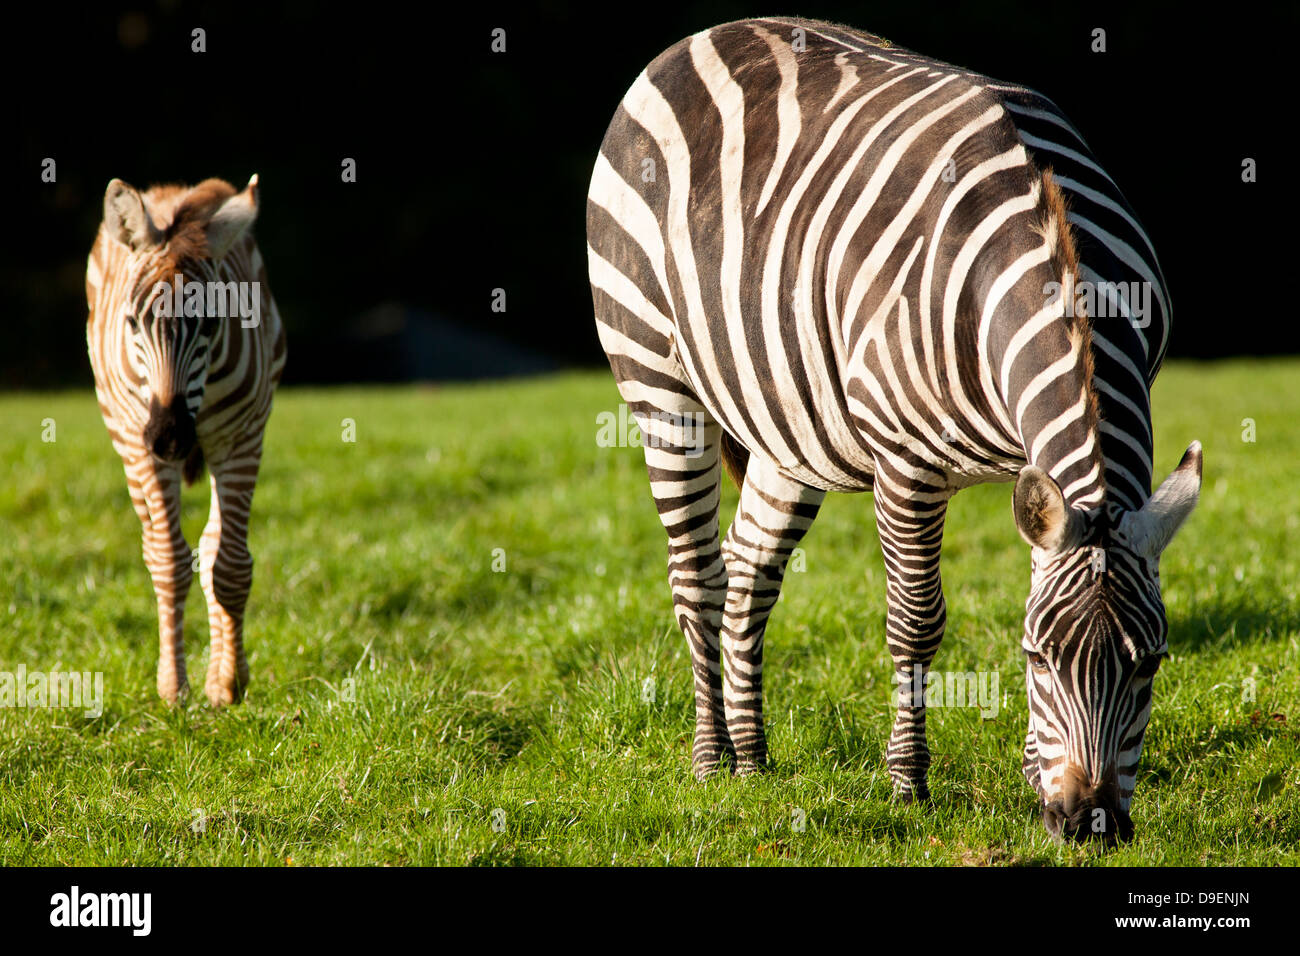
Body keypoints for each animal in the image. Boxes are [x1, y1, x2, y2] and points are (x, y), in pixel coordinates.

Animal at [86, 175, 286, 708]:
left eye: (212, 324)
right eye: (132, 323)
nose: (170, 437)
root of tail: (170, 192)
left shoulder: (242, 441)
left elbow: (229, 567)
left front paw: (229, 684)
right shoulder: (143, 448)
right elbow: (170, 563)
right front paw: (174, 689)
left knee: (214, 542)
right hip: (125, 440)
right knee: (157, 546)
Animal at [586, 17, 1201, 842]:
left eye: (1151, 663)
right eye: (1037, 659)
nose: (1085, 824)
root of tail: (701, 37)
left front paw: (1028, 773)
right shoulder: (906, 464)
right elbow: (917, 621)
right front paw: (908, 783)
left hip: (789, 426)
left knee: (749, 570)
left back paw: (752, 757)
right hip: (659, 382)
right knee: (698, 576)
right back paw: (711, 759)